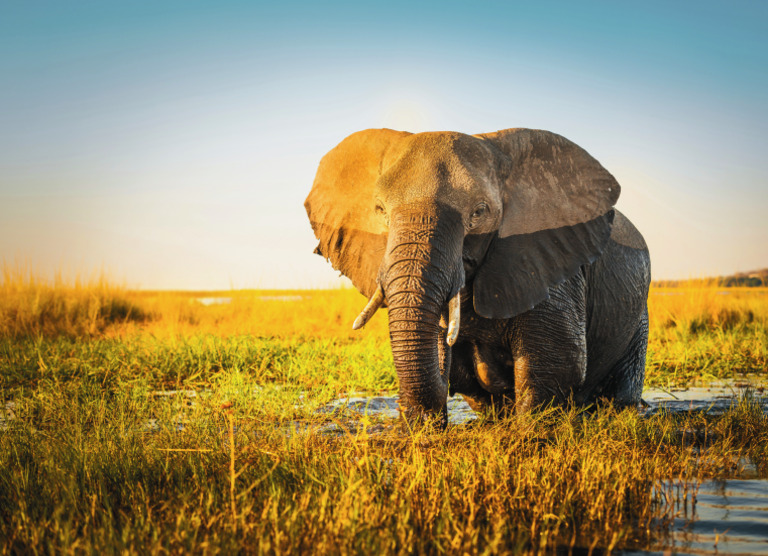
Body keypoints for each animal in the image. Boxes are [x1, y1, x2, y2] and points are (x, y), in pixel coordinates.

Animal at [305, 128, 651, 427]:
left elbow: (558, 361)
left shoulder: (548, 257)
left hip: (639, 315)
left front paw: (529, 434)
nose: (417, 421)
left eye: (479, 212)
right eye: (379, 210)